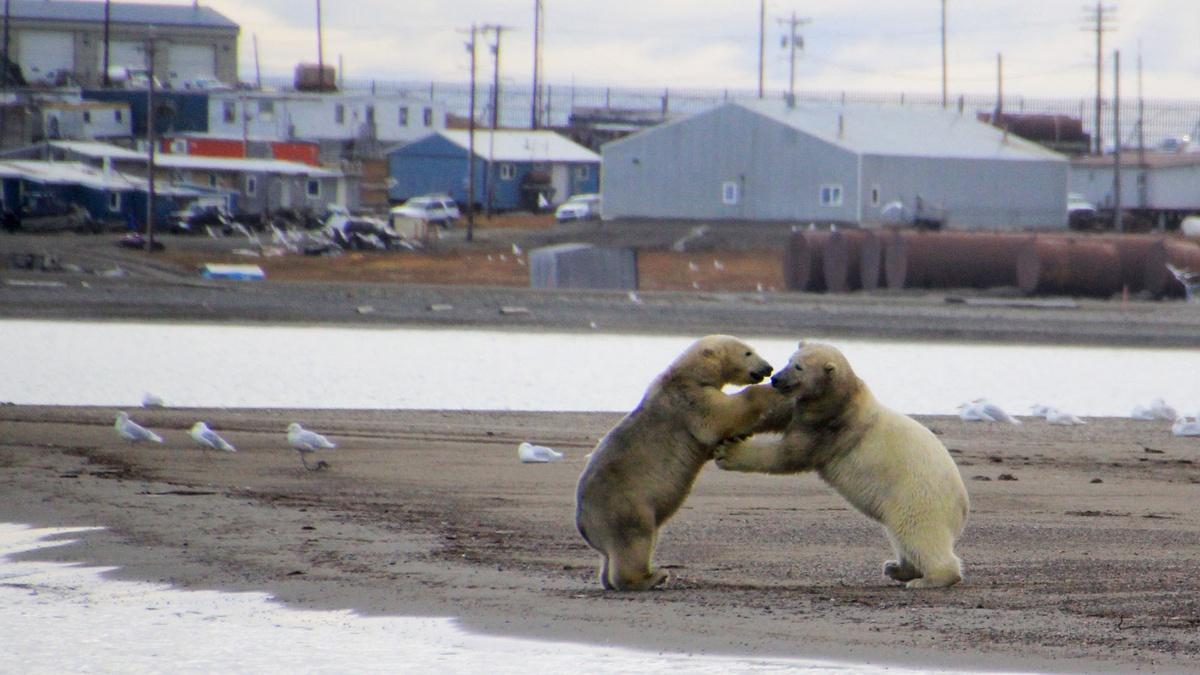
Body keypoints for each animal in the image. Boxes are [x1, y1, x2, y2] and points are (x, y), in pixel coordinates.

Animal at [575, 335, 776, 591]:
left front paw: (738, 437)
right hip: (624, 507)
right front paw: (764, 392)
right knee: (635, 541)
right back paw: (652, 577)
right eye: (748, 352)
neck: (687, 373)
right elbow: (718, 416)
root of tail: (585, 525)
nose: (768, 368)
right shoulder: (688, 398)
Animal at [715, 341, 969, 589]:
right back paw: (898, 568)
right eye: (790, 359)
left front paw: (728, 453)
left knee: (917, 532)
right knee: (900, 534)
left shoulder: (830, 428)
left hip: (917, 497)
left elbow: (788, 454)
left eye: (799, 367)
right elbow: (780, 414)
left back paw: (930, 578)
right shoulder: (810, 410)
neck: (845, 397)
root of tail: (962, 506)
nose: (776, 378)